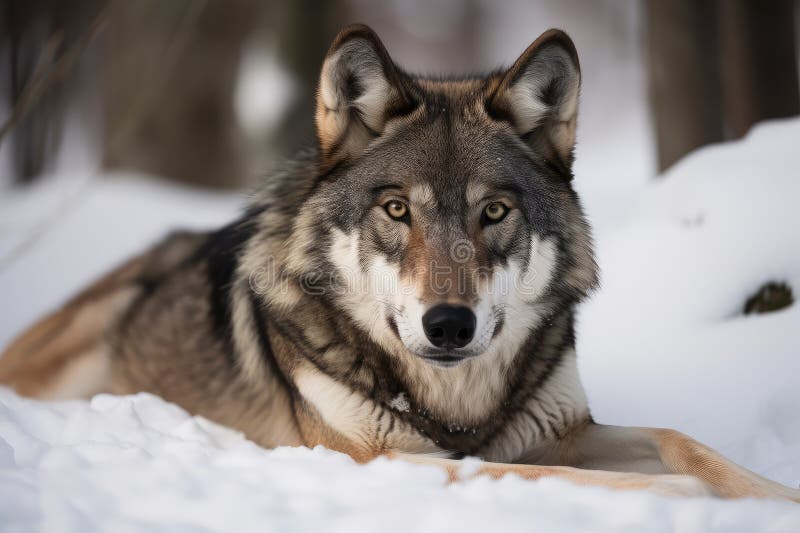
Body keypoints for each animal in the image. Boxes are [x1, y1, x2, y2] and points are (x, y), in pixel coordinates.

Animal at [1, 24, 797, 501]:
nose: (449, 324)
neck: (454, 404)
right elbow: (536, 472)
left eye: (494, 213)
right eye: (395, 210)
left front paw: (771, 496)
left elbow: (683, 440)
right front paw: (684, 499)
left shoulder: (563, 428)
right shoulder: (386, 458)